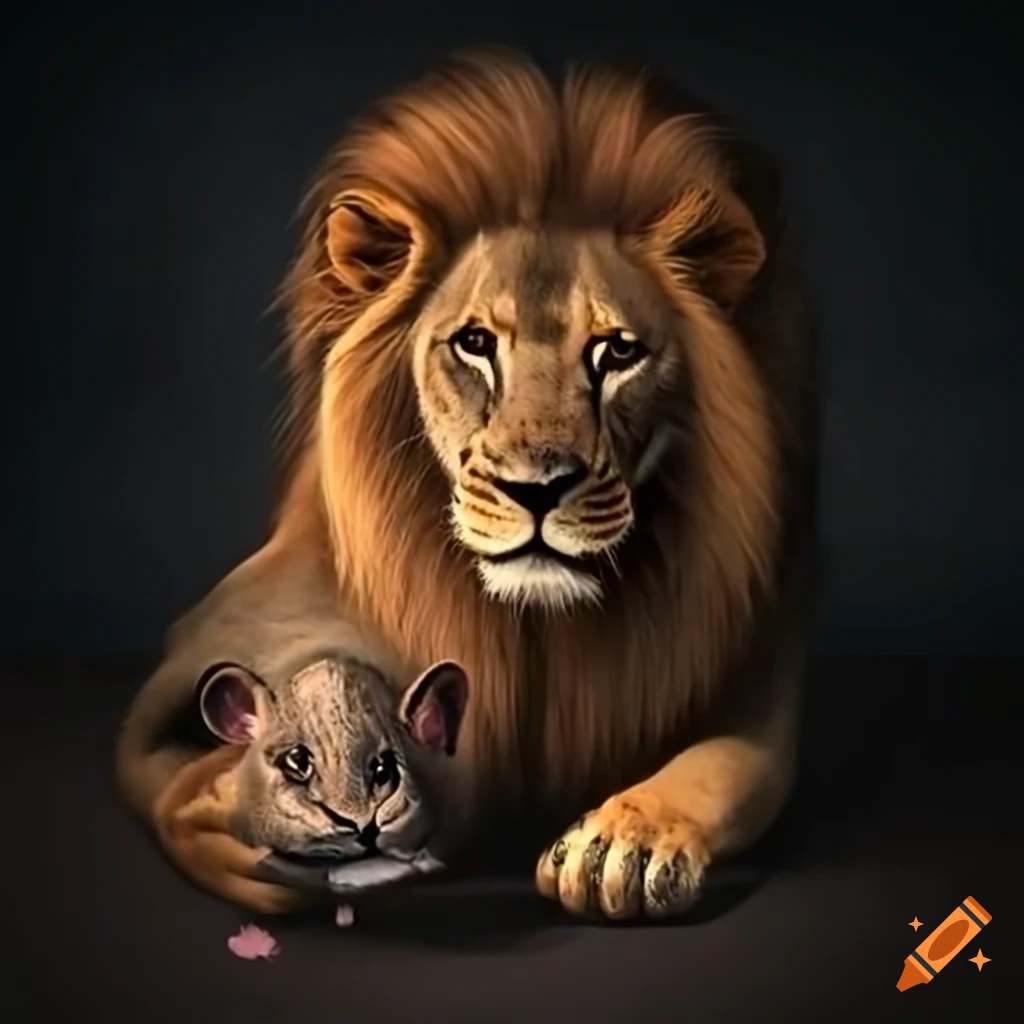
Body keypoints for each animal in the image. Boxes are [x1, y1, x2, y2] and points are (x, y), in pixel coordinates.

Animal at [115, 47, 818, 921]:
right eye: (475, 344)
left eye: (617, 351)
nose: (538, 490)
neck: (539, 635)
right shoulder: (222, 638)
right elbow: (162, 764)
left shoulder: (760, 667)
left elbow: (724, 760)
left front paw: (623, 841)